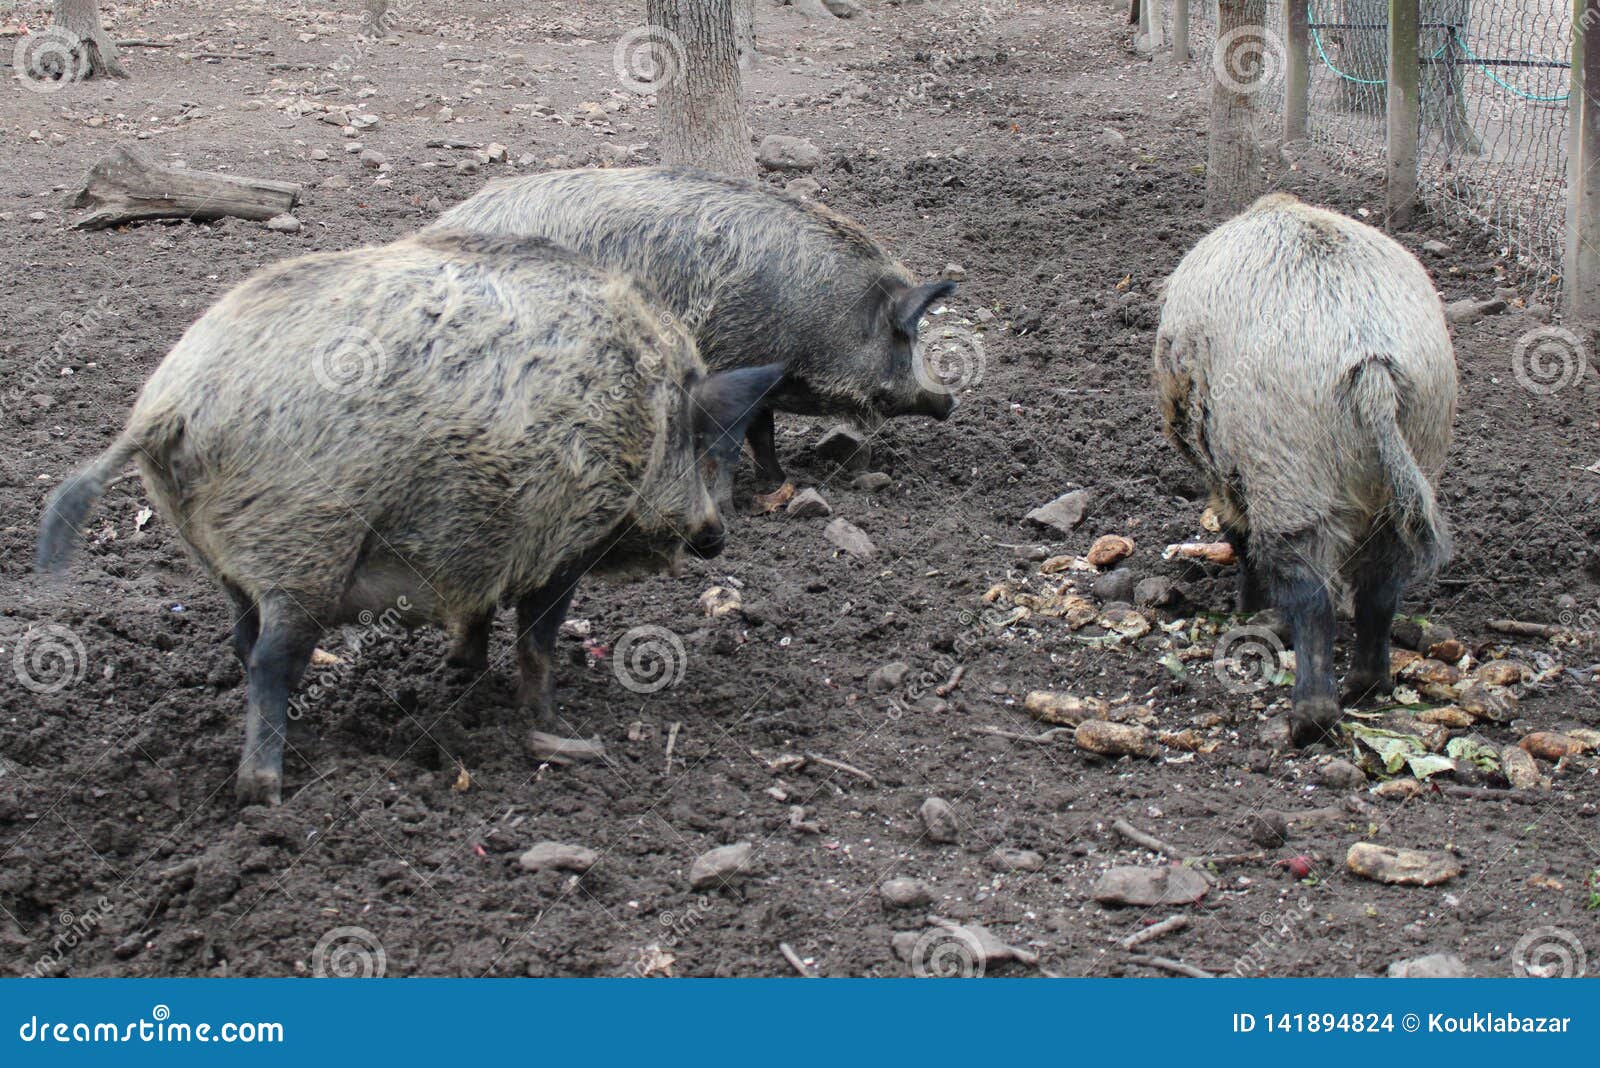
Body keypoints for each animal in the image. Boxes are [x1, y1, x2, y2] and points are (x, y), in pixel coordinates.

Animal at [36, 230, 780, 805]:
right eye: (705, 445)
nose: (719, 537)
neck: (643, 422)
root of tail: (167, 406)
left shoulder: (489, 544)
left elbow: (478, 614)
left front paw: (462, 671)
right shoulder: (566, 540)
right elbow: (537, 642)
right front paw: (558, 730)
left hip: (222, 559)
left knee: (241, 645)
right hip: (304, 545)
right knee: (271, 660)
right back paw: (264, 791)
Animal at [430, 166, 959, 503]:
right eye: (903, 334)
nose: (949, 400)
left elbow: (764, 434)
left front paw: (777, 485)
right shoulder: (732, 361)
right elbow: (730, 441)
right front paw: (725, 505)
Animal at [1153, 193, 1457, 747]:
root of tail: (1371, 368)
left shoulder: (1225, 469)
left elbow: (1236, 532)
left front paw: (1247, 609)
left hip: (1289, 473)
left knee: (1310, 591)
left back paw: (1308, 720)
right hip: (1421, 443)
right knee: (1382, 583)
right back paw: (1366, 687)